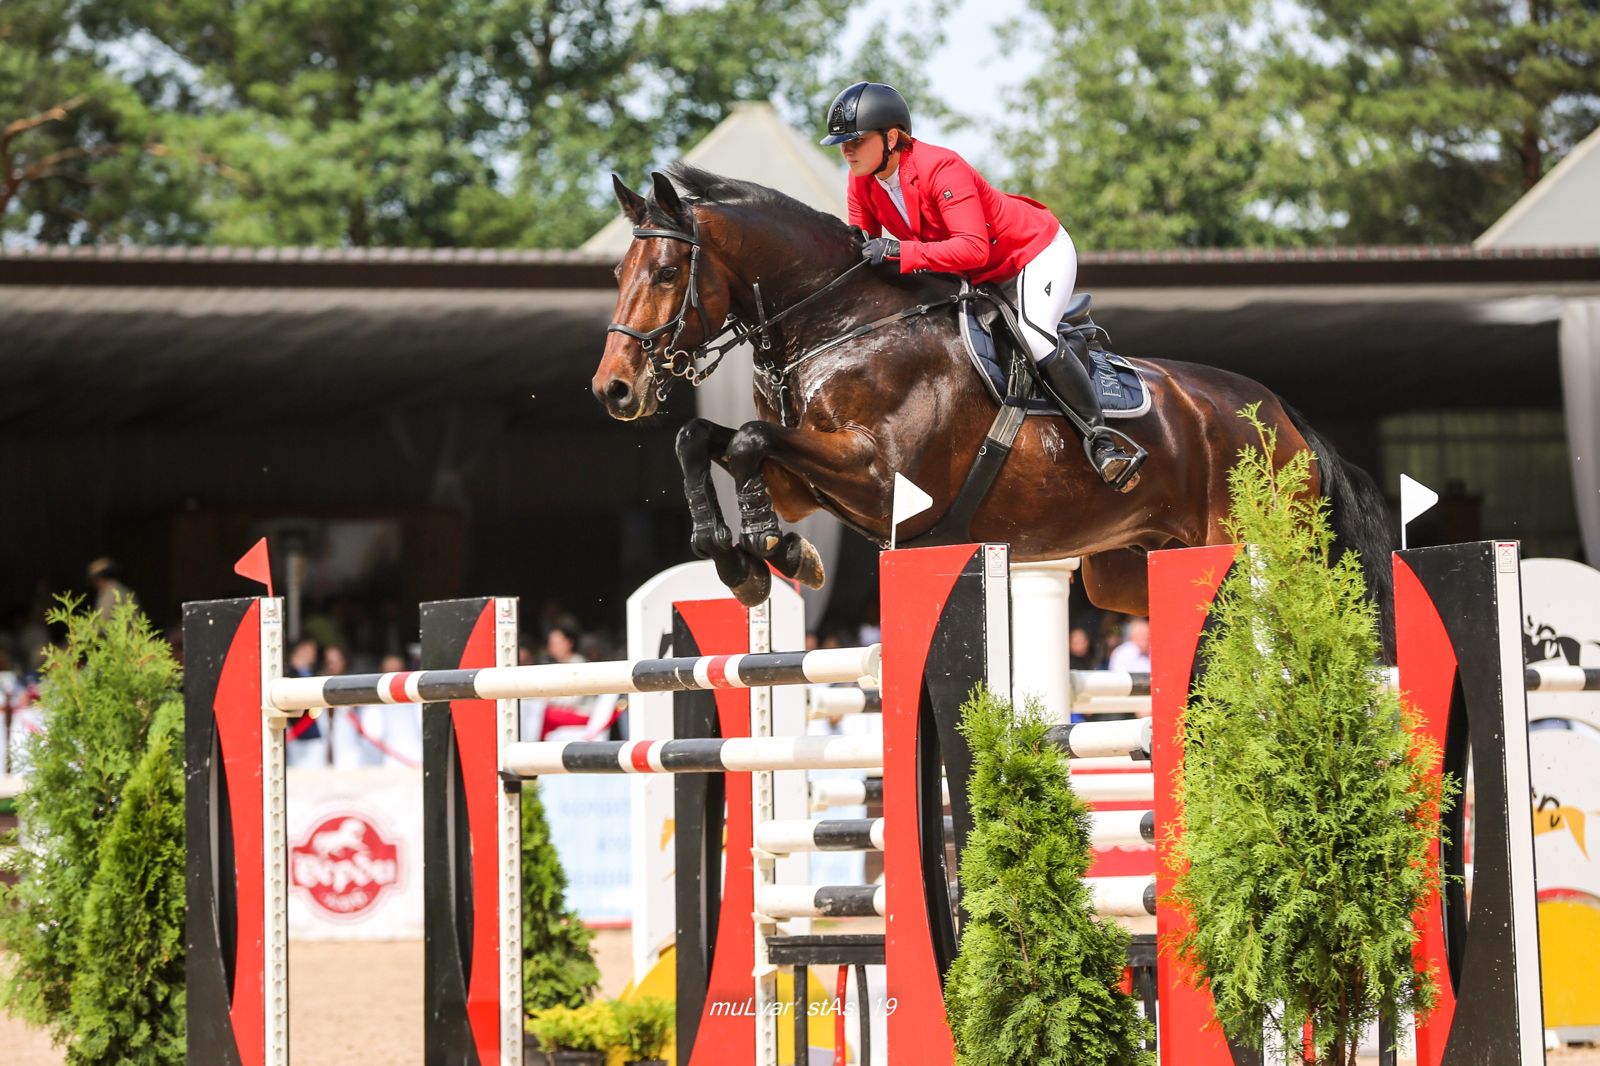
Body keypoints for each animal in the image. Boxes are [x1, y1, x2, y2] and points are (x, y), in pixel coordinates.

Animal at [595, 166, 1395, 646]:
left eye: (665, 273)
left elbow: (748, 440)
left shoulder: (881, 480)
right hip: (1131, 570)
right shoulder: (807, 481)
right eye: (617, 273)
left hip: (1254, 544)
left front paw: (767, 550)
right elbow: (708, 437)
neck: (837, 324)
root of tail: (1286, 416)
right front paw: (743, 558)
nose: (614, 389)